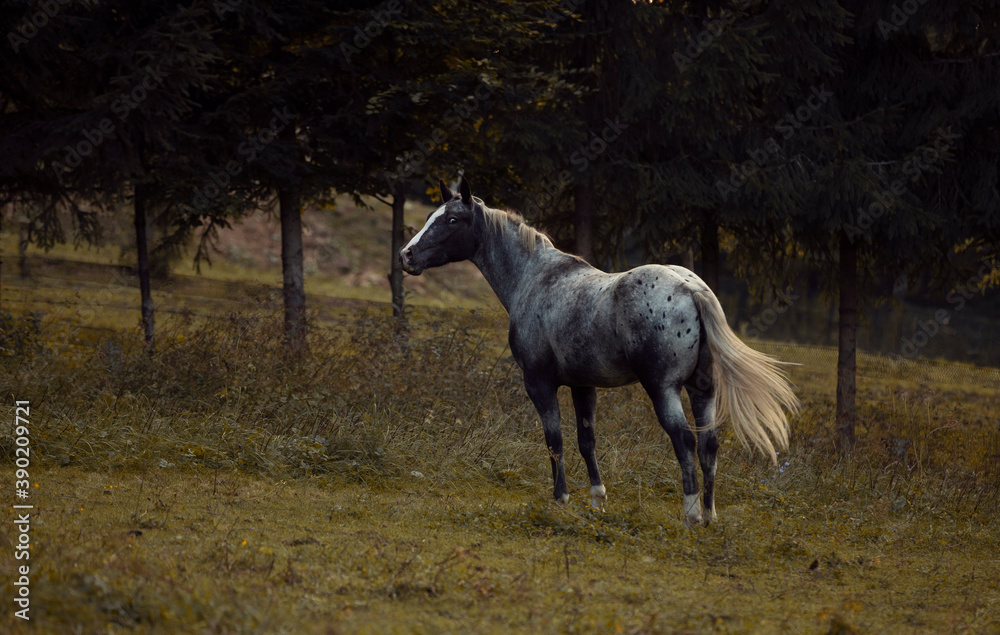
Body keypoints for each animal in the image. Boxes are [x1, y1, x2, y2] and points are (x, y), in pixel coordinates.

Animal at [400, 177, 798, 526]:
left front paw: (560, 499)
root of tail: (690, 287)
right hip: (702, 390)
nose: (407, 255)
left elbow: (555, 440)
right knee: (708, 444)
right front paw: (597, 500)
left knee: (684, 440)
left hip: (663, 390)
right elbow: (586, 440)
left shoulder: (539, 384)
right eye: (432, 216)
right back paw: (710, 515)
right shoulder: (583, 386)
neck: (535, 278)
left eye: (452, 220)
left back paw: (691, 515)